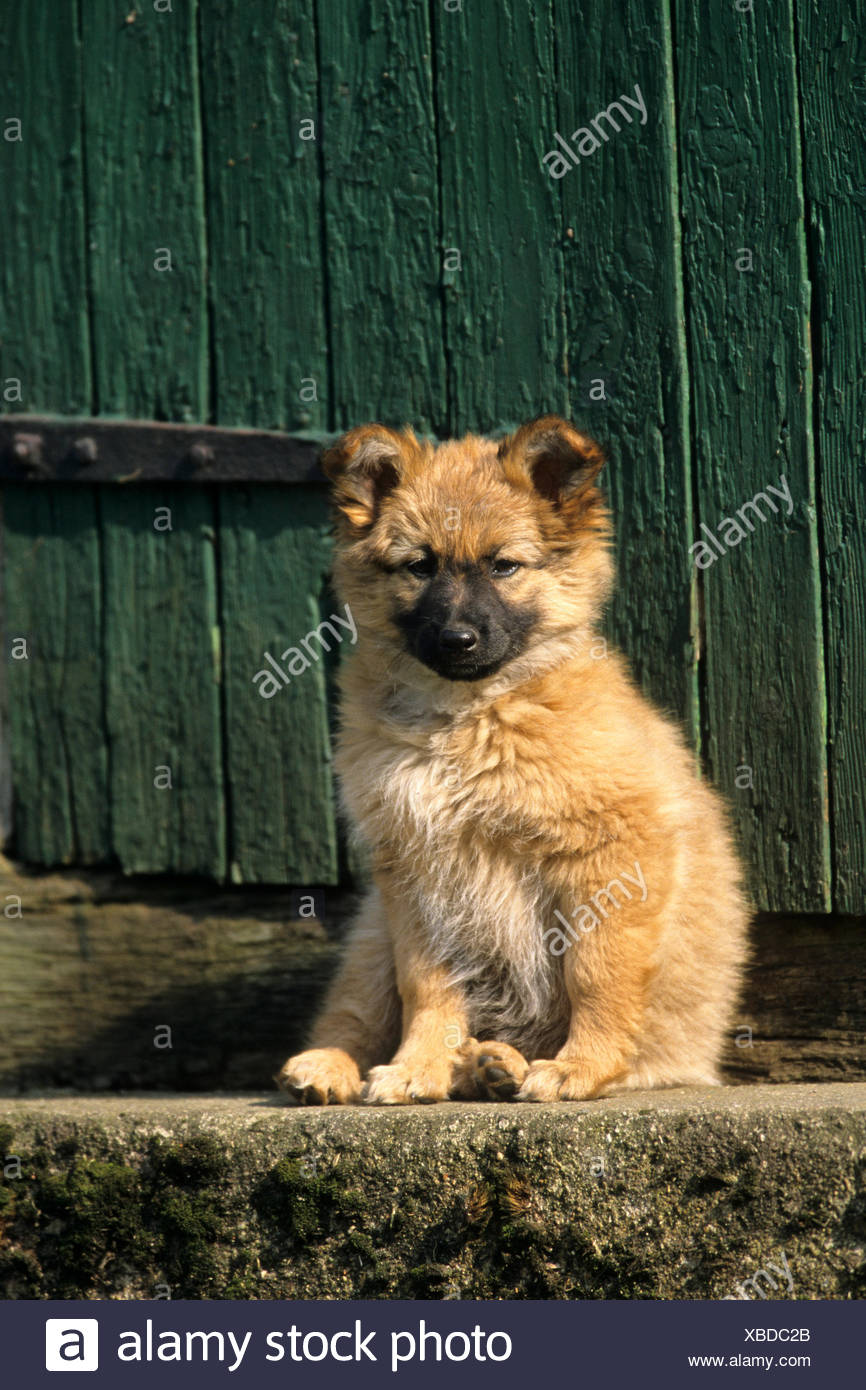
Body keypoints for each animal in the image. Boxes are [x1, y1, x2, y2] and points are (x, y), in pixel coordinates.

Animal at [277, 416, 749, 1104]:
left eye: (504, 566)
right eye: (419, 566)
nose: (458, 639)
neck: (470, 716)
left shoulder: (613, 856)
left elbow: (596, 973)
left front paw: (581, 1067)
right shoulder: (416, 873)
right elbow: (427, 986)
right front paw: (419, 1067)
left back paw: (492, 1064)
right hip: (372, 934)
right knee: (354, 1013)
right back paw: (339, 1066)